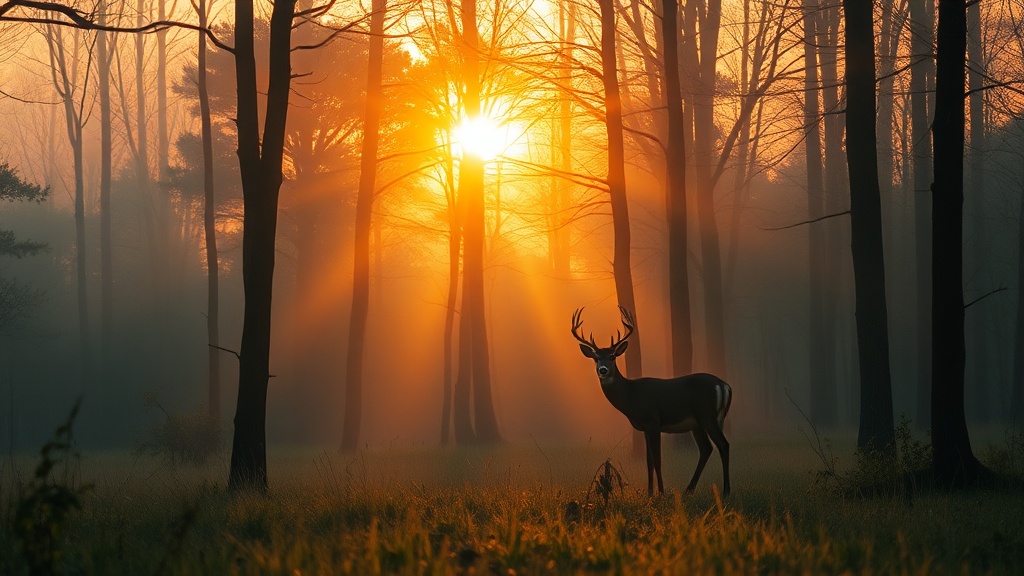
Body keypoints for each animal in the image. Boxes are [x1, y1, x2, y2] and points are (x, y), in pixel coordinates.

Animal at [571, 307, 732, 497]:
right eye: (595, 358)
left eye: (612, 356)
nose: (603, 370)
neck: (631, 396)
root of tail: (724, 385)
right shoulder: (644, 427)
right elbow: (648, 461)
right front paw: (650, 493)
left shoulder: (653, 421)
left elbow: (657, 459)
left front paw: (661, 492)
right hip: (697, 423)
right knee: (706, 449)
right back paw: (689, 490)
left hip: (707, 415)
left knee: (723, 444)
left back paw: (726, 491)